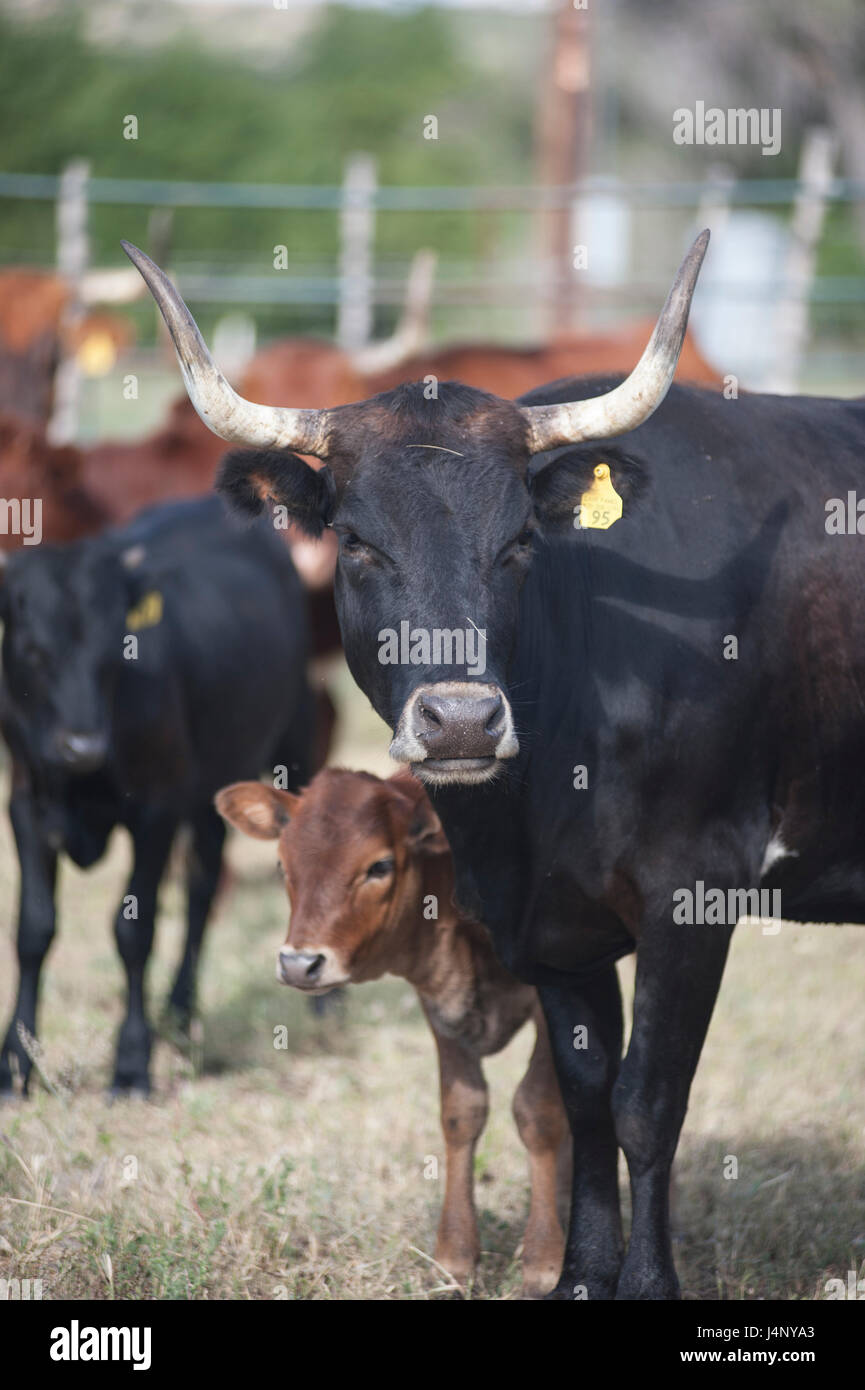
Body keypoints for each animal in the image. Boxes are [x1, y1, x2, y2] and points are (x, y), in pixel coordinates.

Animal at [0, 495, 315, 1097]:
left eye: (114, 647)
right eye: (32, 650)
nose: (82, 745)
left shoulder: (156, 809)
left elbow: (134, 928)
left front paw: (130, 1065)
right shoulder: (27, 803)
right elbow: (33, 928)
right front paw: (15, 1064)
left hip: (296, 736)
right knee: (202, 885)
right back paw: (178, 1012)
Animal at [215, 765, 569, 1295]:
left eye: (380, 865)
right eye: (281, 864)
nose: (299, 964)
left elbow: (539, 1110)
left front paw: (546, 1261)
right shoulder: (439, 1006)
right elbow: (462, 1112)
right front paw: (455, 1256)